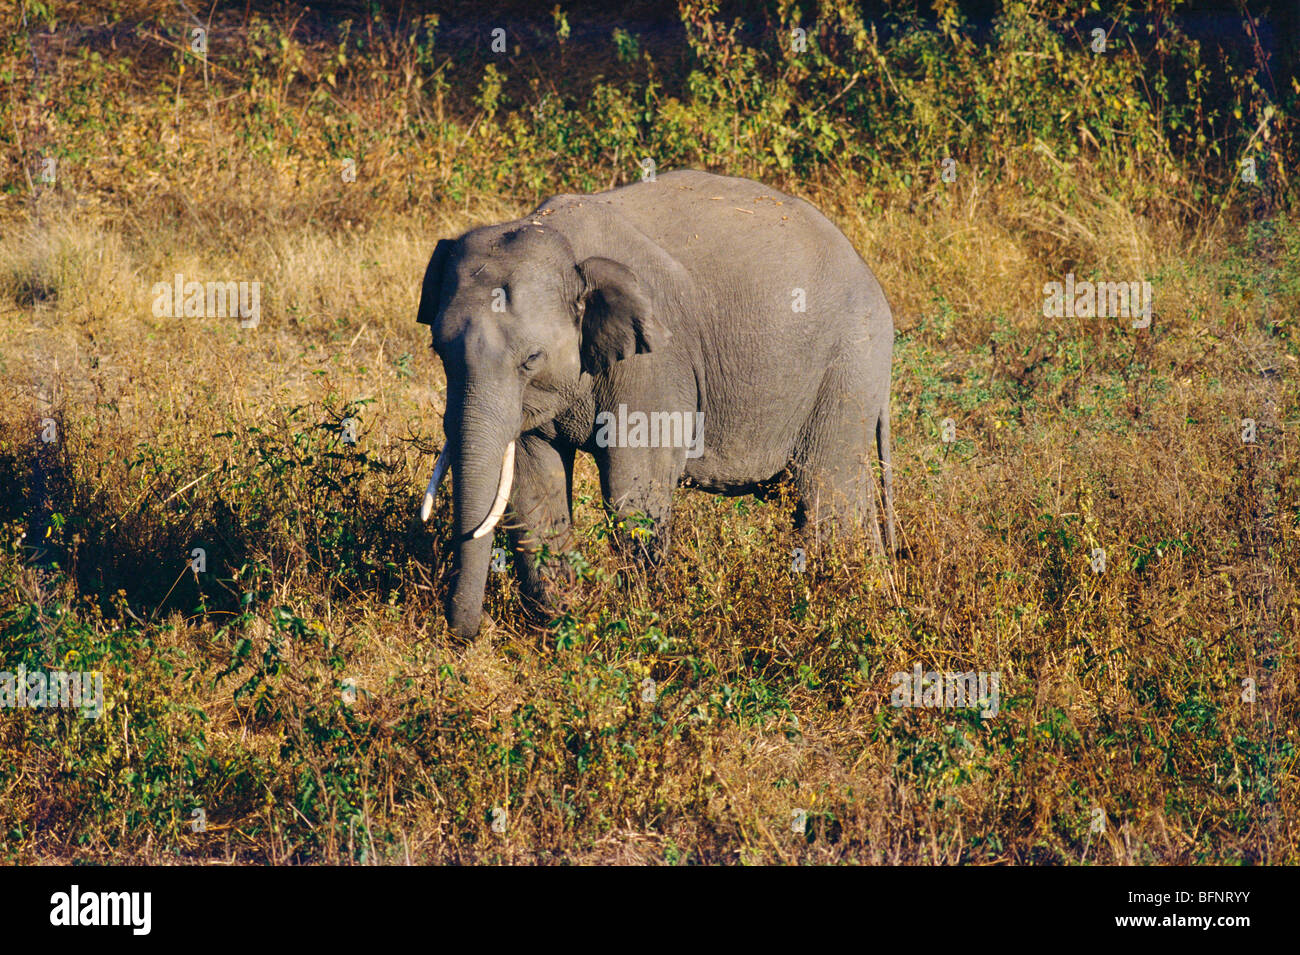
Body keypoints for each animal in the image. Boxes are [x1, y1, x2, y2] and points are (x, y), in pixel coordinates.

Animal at [417, 169, 895, 639]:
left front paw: (638, 624)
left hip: (849, 364)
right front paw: (561, 631)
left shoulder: (657, 361)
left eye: (531, 359)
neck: (562, 241)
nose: (472, 631)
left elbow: (633, 485)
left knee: (825, 489)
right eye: (438, 350)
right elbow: (532, 489)